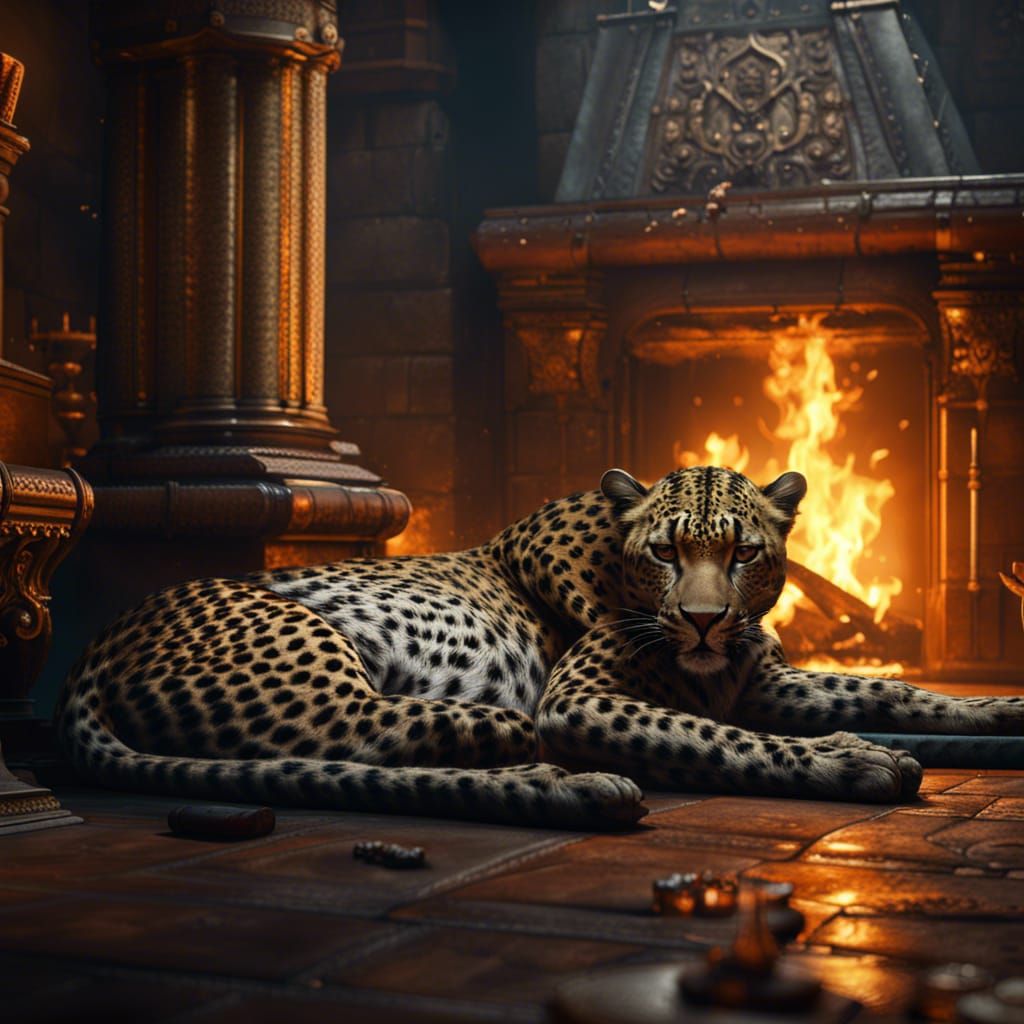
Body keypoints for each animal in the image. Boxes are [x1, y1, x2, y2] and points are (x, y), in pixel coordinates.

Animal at [56, 466, 1024, 830]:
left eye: (745, 553)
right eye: (665, 552)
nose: (705, 621)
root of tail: (96, 644)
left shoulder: (766, 684)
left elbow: (897, 691)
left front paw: (998, 709)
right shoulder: (586, 698)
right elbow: (720, 737)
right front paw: (849, 760)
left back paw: (574, 788)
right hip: (319, 660)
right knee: (378, 737)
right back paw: (560, 769)